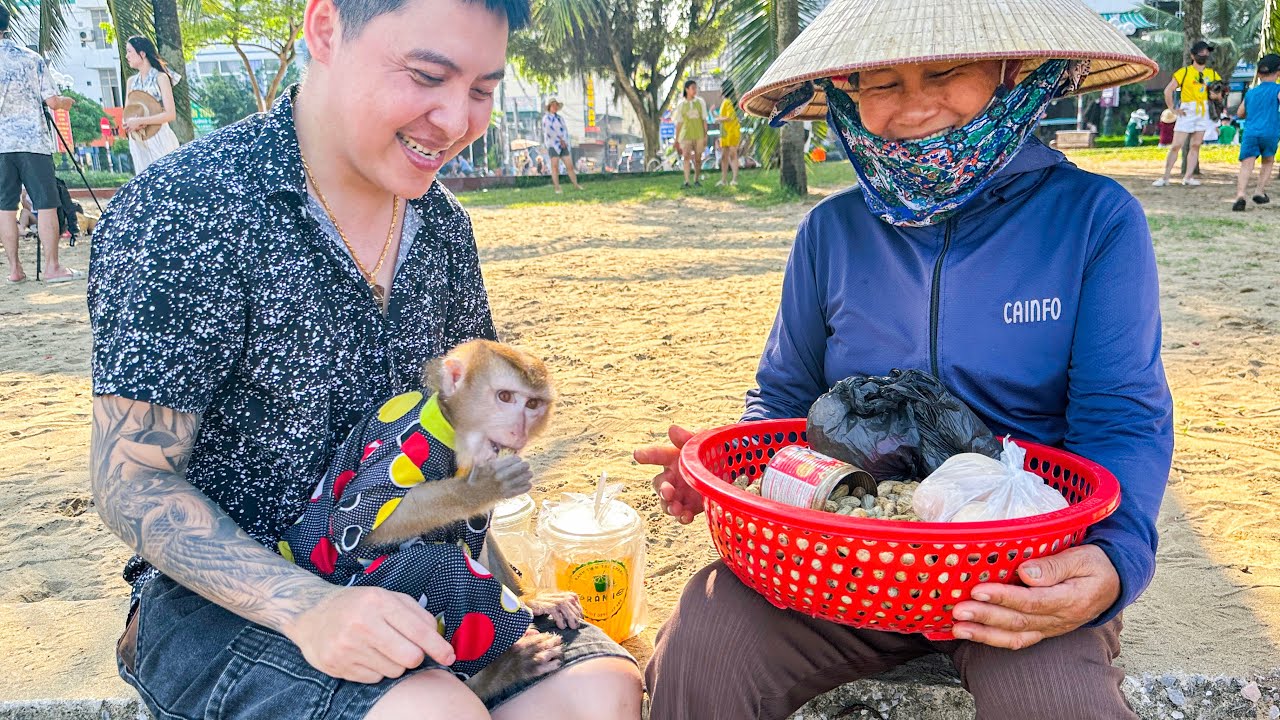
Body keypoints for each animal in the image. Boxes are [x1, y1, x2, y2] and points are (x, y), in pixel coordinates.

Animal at [278, 339, 584, 699]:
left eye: (533, 404)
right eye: (505, 397)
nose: (519, 429)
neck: (450, 423)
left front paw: (530, 597)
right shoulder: (410, 446)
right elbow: (352, 524)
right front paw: (483, 488)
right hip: (368, 588)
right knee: (445, 566)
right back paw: (497, 674)